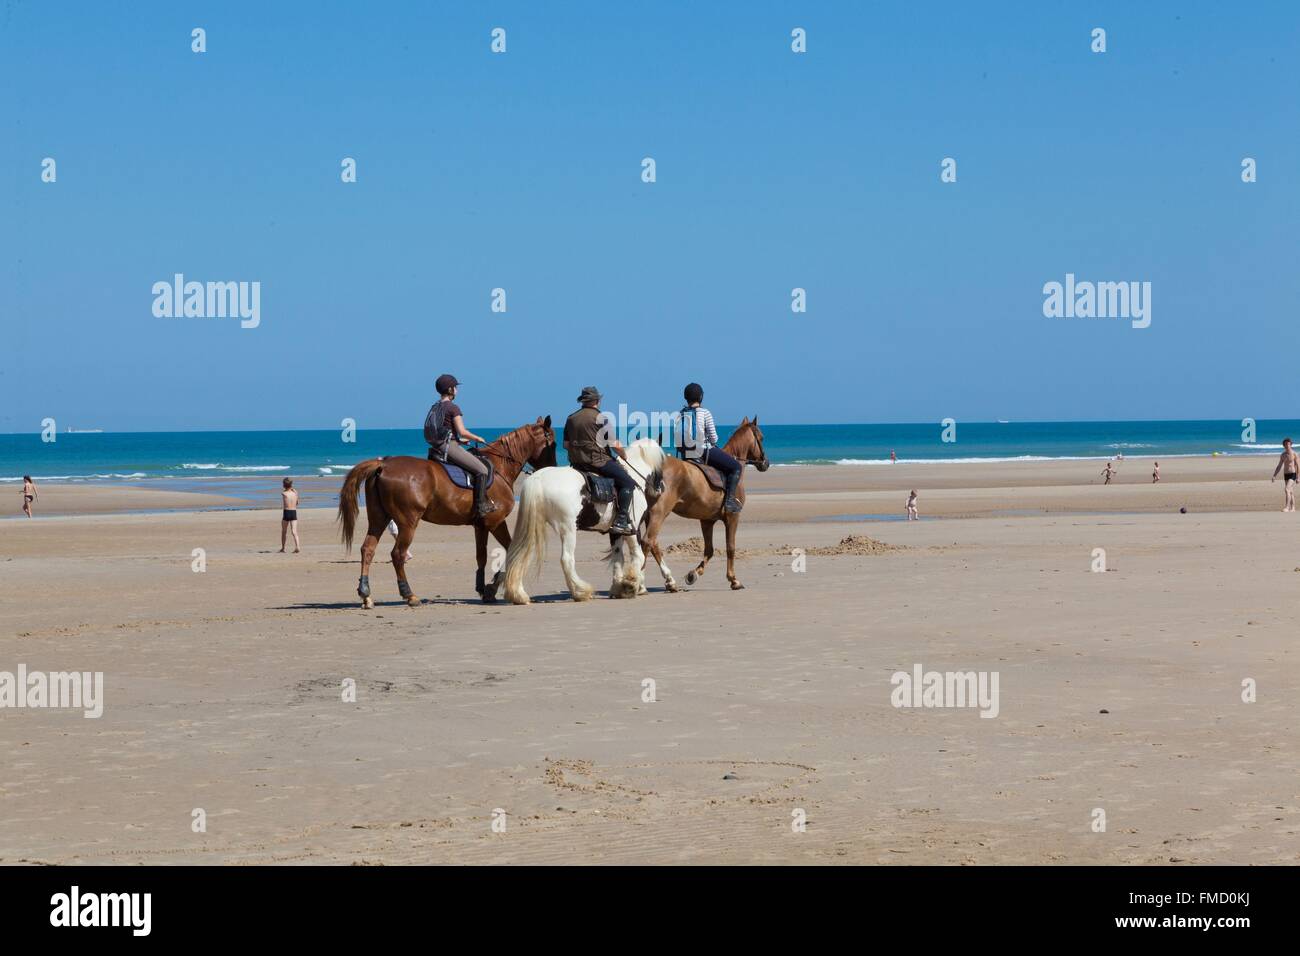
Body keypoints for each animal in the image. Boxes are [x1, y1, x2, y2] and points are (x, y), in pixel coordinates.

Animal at [337, 416, 556, 608]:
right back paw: (409, 595)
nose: (552, 468)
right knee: (397, 554)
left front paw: (484, 588)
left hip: (379, 518)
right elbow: (510, 549)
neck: (500, 467)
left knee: (368, 549)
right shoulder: (495, 522)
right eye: (552, 444)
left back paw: (366, 594)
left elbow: (482, 556)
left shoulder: (481, 525)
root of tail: (383, 464)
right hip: (407, 523)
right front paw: (497, 585)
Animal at [503, 439, 666, 604]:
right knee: (566, 560)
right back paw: (580, 592)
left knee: (520, 556)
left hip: (534, 526)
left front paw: (618, 588)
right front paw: (630, 585)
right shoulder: (632, 529)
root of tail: (539, 479)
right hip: (568, 529)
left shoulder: (615, 532)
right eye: (663, 463)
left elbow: (618, 557)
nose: (661, 488)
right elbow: (638, 555)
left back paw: (519, 595)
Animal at [641, 416, 769, 592]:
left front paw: (693, 574)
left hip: (649, 514)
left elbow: (709, 550)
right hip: (659, 512)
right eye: (761, 438)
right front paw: (734, 580)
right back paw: (638, 583)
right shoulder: (733, 516)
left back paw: (670, 581)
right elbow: (730, 547)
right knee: (648, 541)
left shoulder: (707, 521)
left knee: (653, 544)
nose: (766, 463)